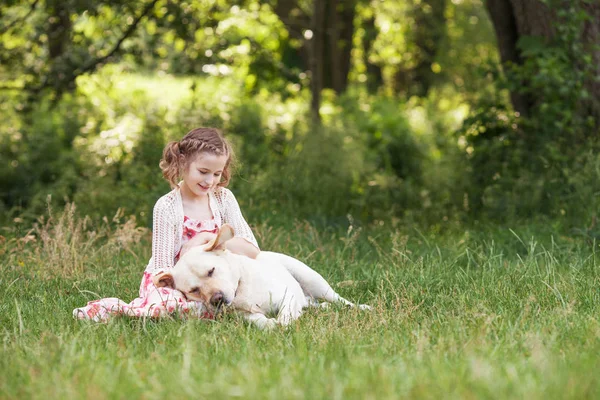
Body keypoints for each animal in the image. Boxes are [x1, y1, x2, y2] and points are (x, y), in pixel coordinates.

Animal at [154, 223, 370, 330]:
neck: (240, 289)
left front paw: (283, 323)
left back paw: (361, 307)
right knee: (314, 305)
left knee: (340, 300)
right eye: (194, 290)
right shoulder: (243, 315)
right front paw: (269, 324)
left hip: (313, 280)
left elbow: (285, 314)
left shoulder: (288, 295)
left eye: (211, 271)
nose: (217, 299)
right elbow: (257, 320)